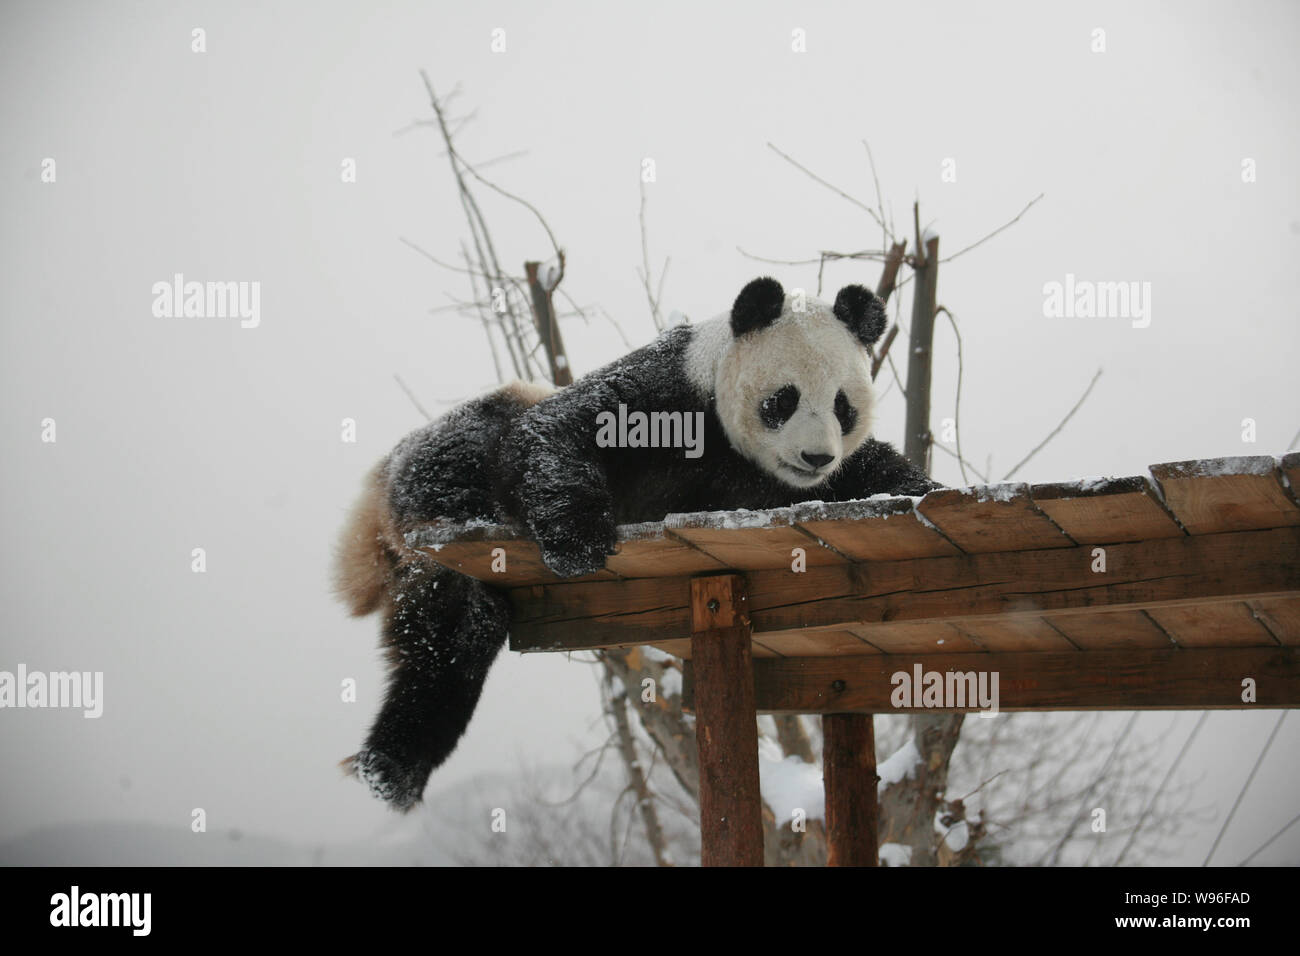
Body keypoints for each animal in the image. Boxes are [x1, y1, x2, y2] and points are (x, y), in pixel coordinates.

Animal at [335, 276, 937, 810]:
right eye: (782, 401)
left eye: (843, 406)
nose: (816, 456)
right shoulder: (667, 391)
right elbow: (558, 428)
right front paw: (579, 542)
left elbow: (868, 471)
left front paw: (920, 489)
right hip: (445, 464)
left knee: (446, 645)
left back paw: (388, 771)